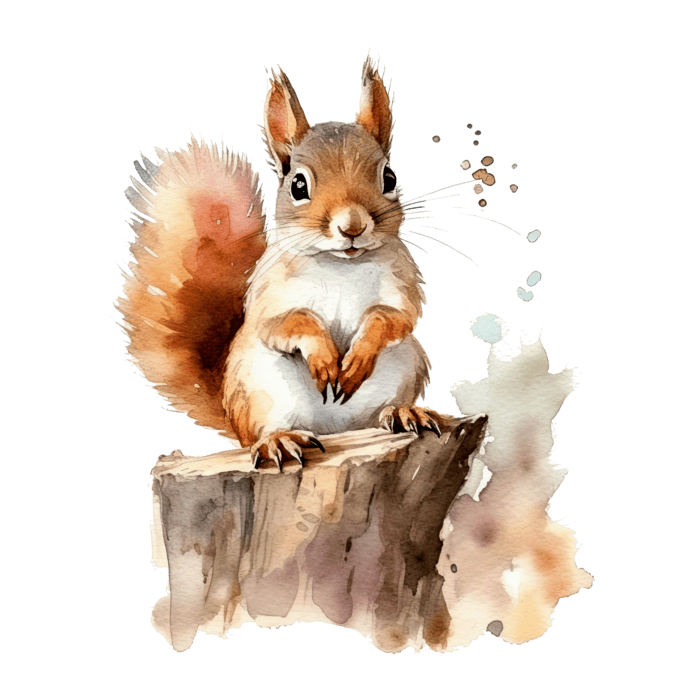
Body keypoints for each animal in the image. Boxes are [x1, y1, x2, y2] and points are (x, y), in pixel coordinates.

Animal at [117, 54, 449, 467]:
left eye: (389, 178)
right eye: (298, 185)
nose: (352, 226)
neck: (342, 264)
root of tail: (336, 431)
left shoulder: (400, 282)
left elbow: (394, 317)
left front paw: (356, 358)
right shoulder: (269, 294)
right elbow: (286, 321)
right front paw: (323, 357)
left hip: (407, 364)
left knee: (379, 414)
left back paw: (404, 413)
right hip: (258, 388)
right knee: (261, 431)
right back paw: (279, 440)